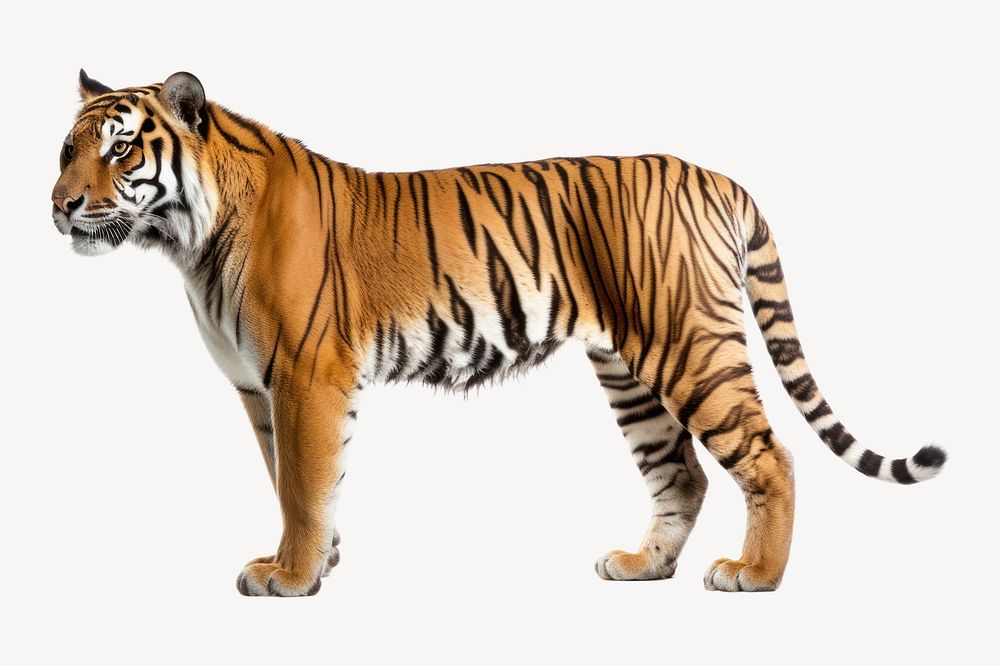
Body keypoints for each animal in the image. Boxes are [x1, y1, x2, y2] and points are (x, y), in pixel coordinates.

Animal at [52, 70, 947, 597]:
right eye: (66, 149)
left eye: (121, 148)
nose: (60, 204)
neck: (186, 239)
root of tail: (715, 175)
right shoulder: (258, 387)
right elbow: (291, 482)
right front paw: (311, 561)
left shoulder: (307, 375)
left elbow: (304, 485)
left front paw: (294, 576)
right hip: (629, 371)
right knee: (682, 475)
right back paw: (642, 567)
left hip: (691, 345)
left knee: (769, 456)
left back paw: (754, 575)